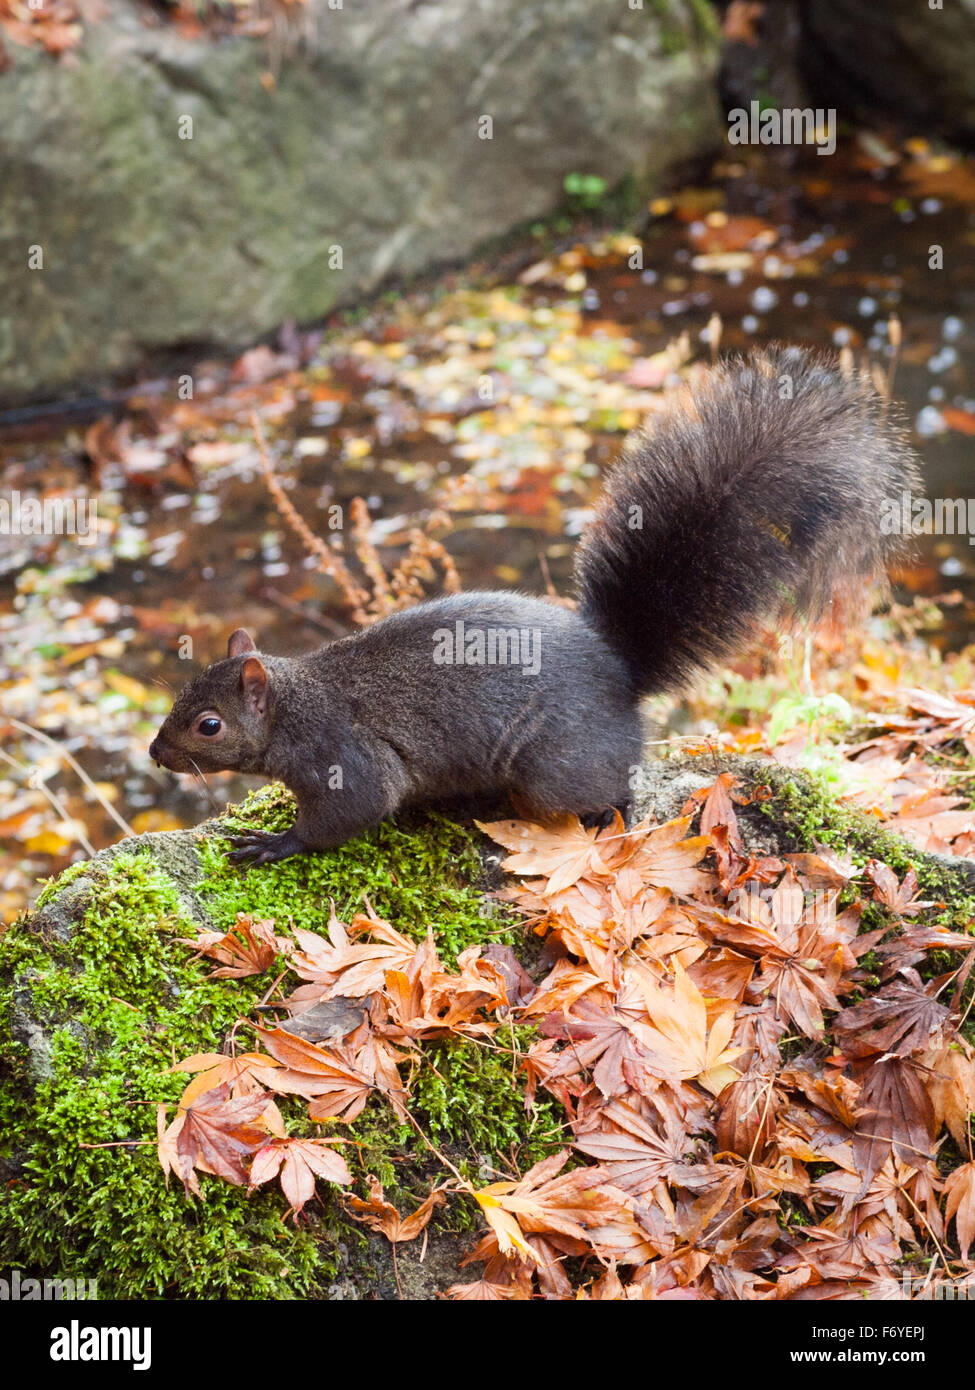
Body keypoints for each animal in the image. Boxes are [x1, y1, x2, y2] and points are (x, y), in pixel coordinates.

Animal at [149, 347, 920, 867]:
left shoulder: (343, 755)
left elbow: (353, 809)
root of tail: (620, 672)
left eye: (209, 724)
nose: (157, 754)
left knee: (615, 789)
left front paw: (276, 841)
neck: (296, 702)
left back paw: (604, 816)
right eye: (180, 696)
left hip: (554, 767)